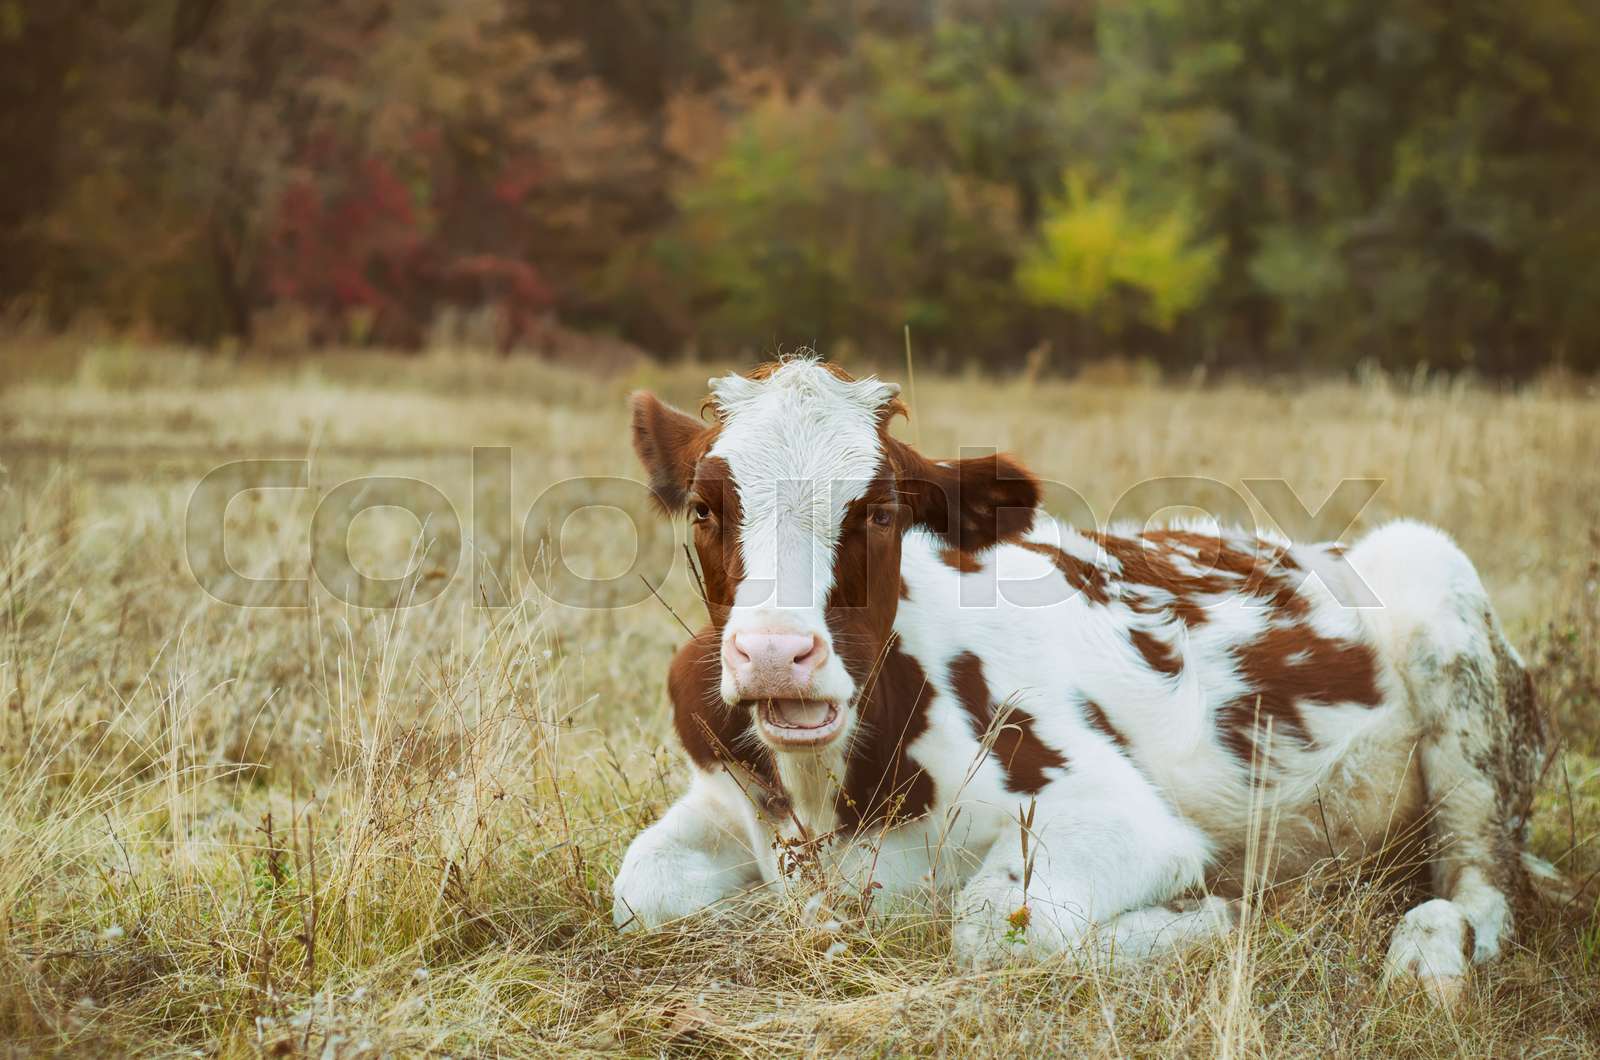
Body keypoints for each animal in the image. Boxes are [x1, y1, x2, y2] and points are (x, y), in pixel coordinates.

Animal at [612, 358, 1546, 997]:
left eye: (880, 511)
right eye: (705, 509)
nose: (775, 654)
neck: (827, 802)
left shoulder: (1116, 813)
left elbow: (989, 924)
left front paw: (1208, 916)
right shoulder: (725, 794)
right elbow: (638, 888)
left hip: (1447, 624)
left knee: (1483, 890)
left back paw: (1426, 954)